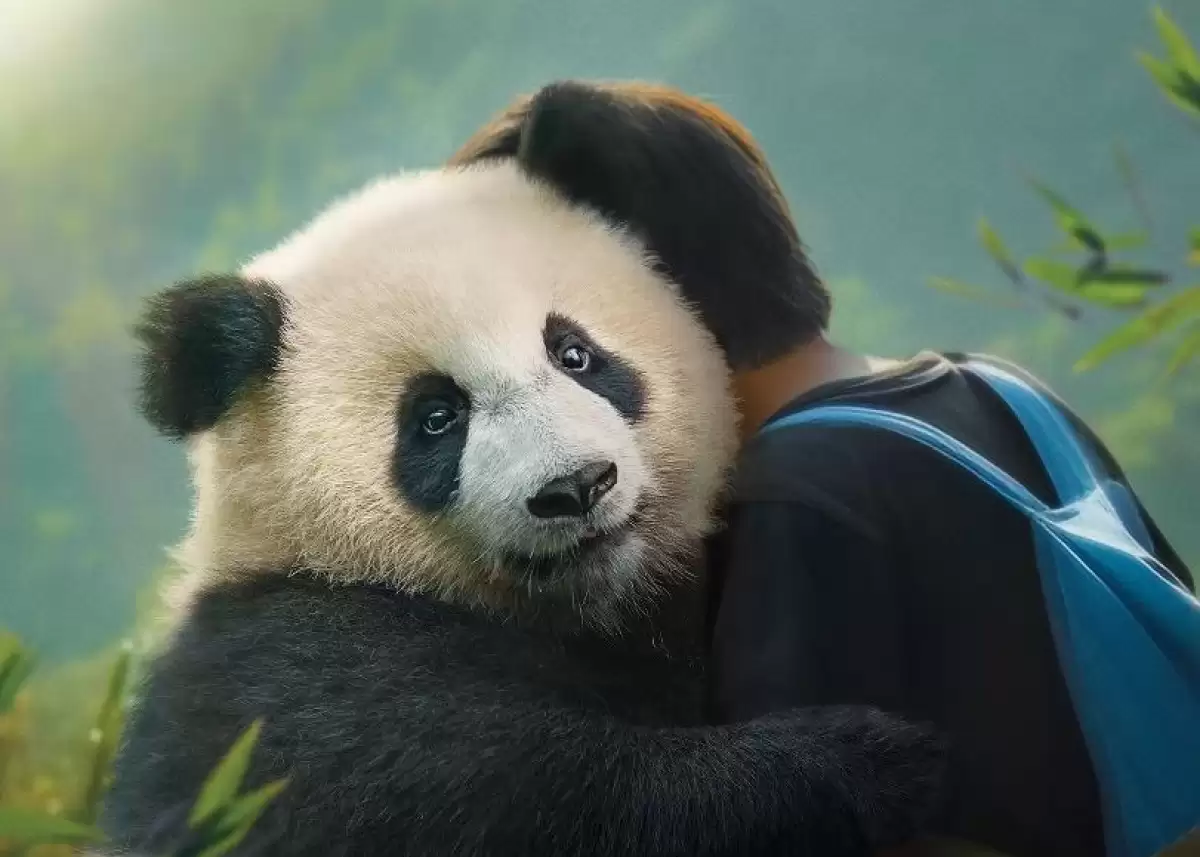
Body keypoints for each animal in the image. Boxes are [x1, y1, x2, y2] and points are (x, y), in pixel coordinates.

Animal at [98, 87, 945, 857]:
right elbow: (510, 785)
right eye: (436, 418)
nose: (577, 486)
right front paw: (861, 760)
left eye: (574, 353)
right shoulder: (284, 682)